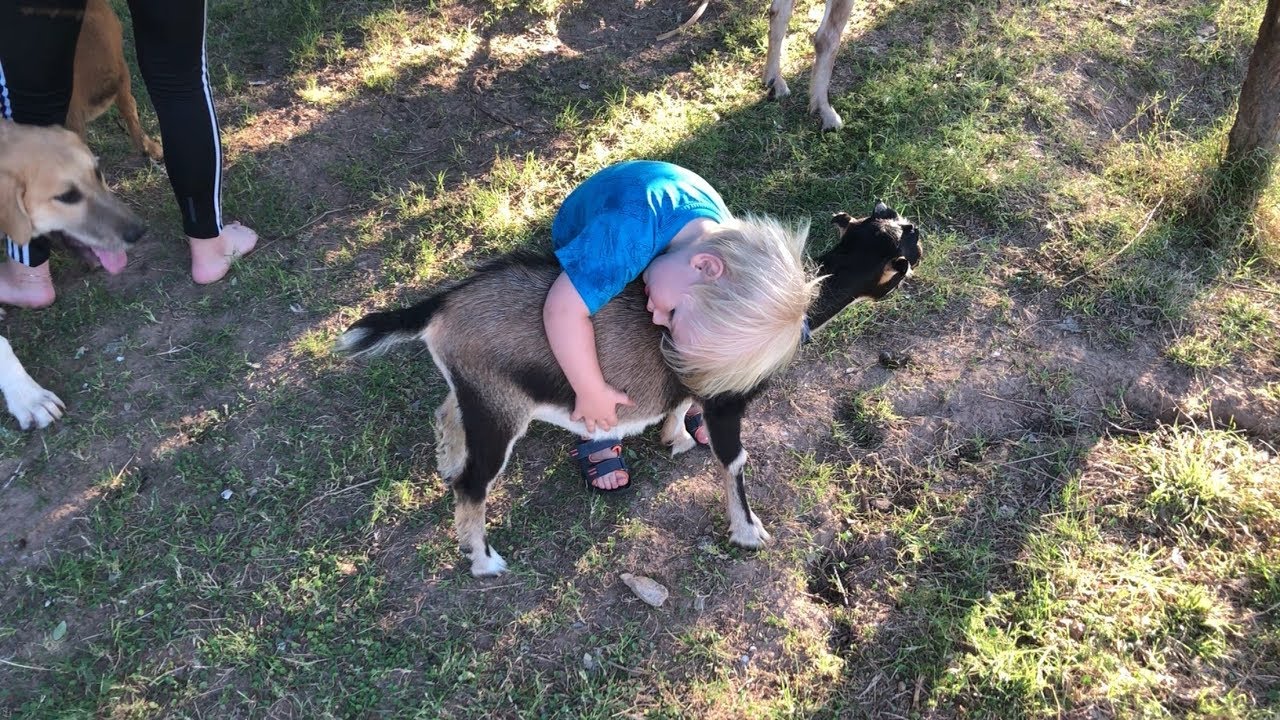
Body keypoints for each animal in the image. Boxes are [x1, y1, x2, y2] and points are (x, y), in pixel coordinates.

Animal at [336, 202, 922, 577]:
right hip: (500, 410)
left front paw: (676, 437)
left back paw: (446, 459)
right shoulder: (727, 400)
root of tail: (441, 306)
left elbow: (679, 402)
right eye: (904, 256)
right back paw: (484, 560)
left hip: (476, 390)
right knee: (473, 482)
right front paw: (749, 531)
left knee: (446, 413)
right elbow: (735, 461)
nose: (921, 241)